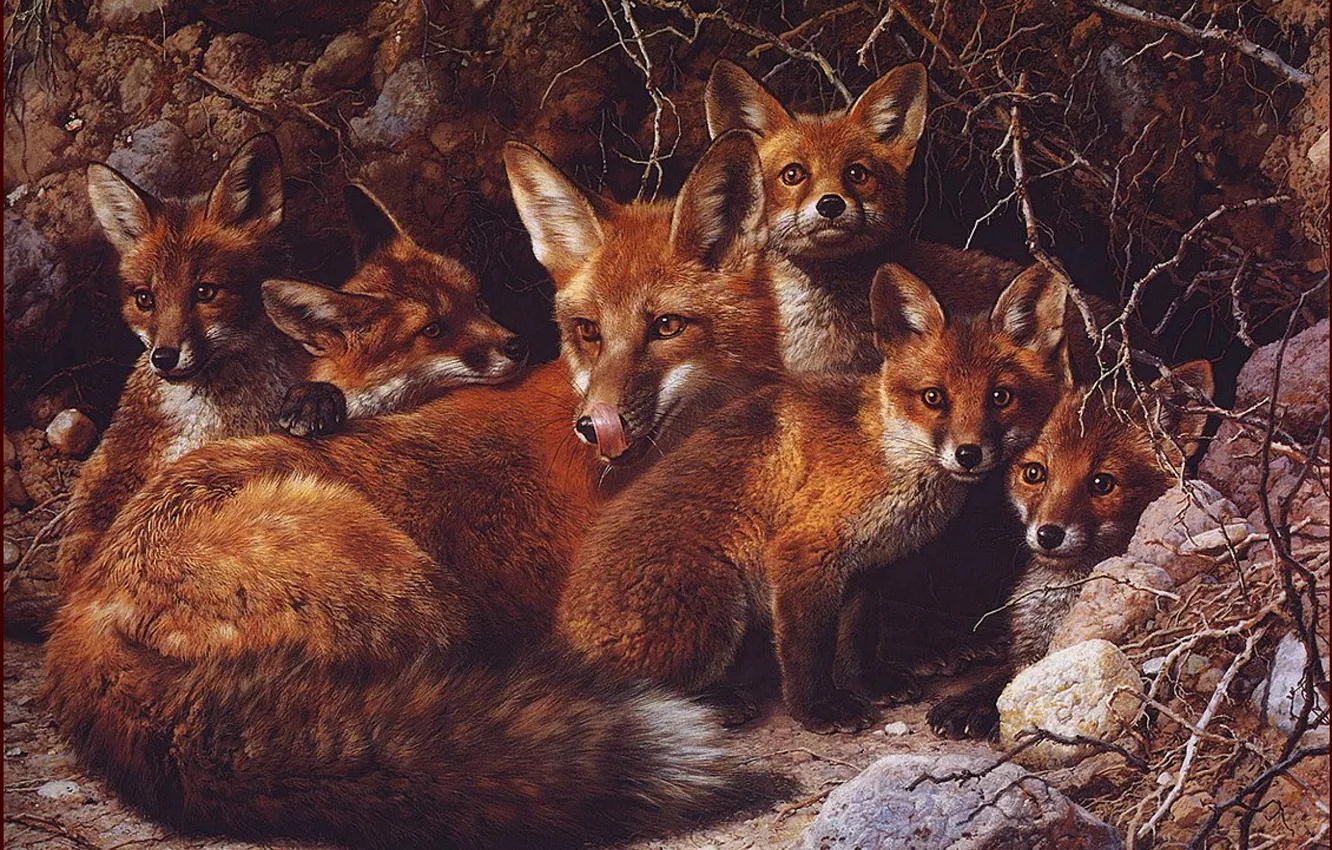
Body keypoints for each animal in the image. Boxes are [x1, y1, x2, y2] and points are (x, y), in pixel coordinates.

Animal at [43, 130, 785, 847]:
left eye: (666, 326)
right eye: (588, 332)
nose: (595, 426)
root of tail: (81, 611)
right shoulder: (595, 614)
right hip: (423, 595)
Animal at [556, 261, 1071, 734]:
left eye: (1000, 397)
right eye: (933, 397)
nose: (969, 454)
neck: (881, 453)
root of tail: (558, 633)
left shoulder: (865, 567)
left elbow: (857, 638)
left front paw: (869, 683)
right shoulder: (802, 553)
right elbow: (807, 651)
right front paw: (818, 709)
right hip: (716, 606)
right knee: (640, 691)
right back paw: (717, 703)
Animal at [927, 360, 1215, 740]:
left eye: (1102, 483)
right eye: (1035, 473)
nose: (1048, 534)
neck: (1063, 597)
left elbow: (1017, 682)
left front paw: (976, 707)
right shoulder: (1029, 644)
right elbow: (1006, 672)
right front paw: (970, 697)